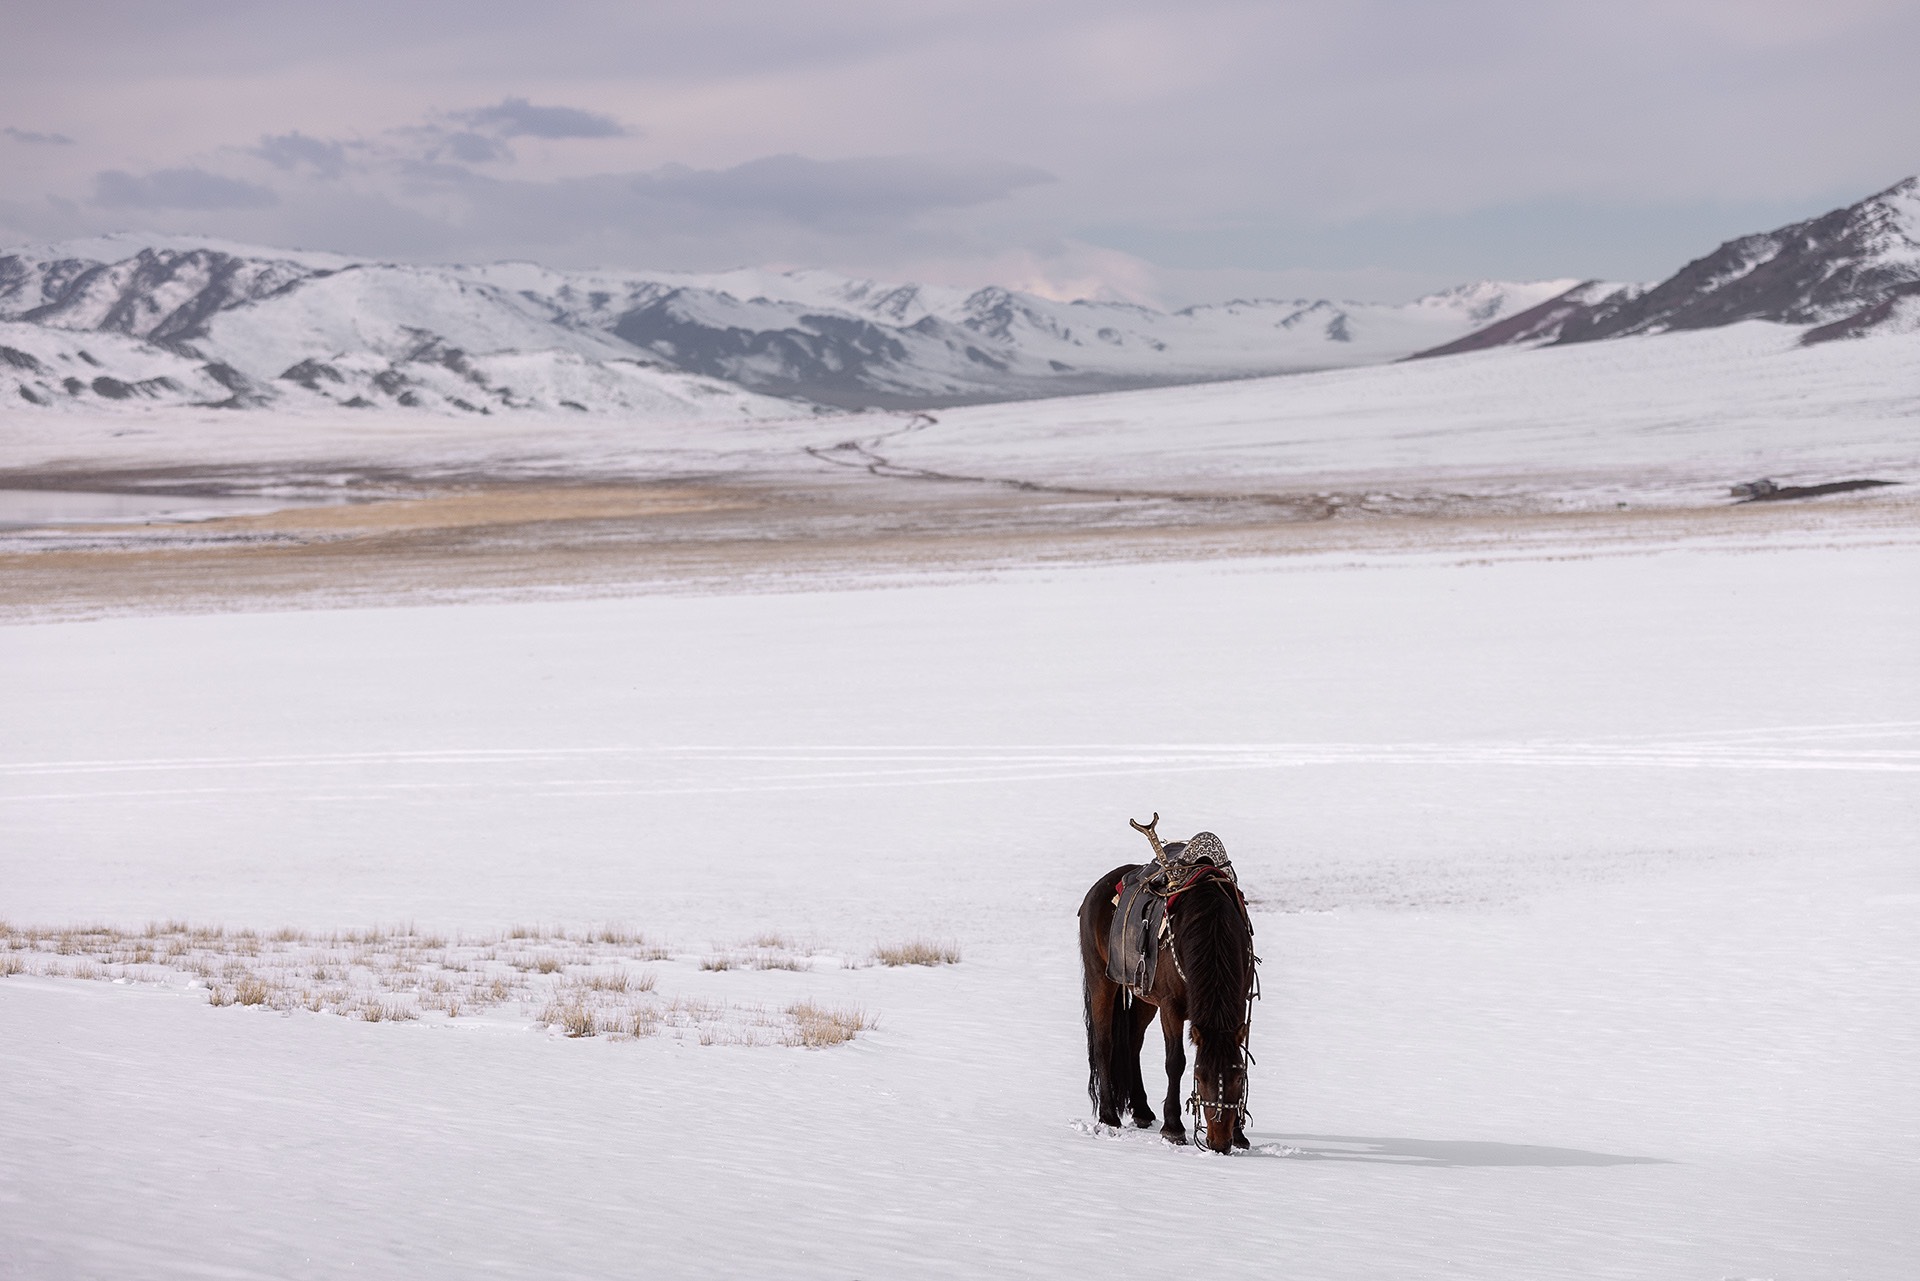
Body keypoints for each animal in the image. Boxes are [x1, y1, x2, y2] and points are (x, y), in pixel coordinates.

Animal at [1082, 818, 1259, 1160]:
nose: (1219, 1143)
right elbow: (1175, 1062)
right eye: (1200, 1077)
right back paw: (1109, 1117)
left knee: (1131, 1041)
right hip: (1102, 979)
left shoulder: (1240, 1000)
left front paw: (1241, 1135)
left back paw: (1141, 1111)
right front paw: (1173, 1128)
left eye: (1237, 1077)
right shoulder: (1172, 1006)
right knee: (1104, 1043)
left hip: (1144, 996)